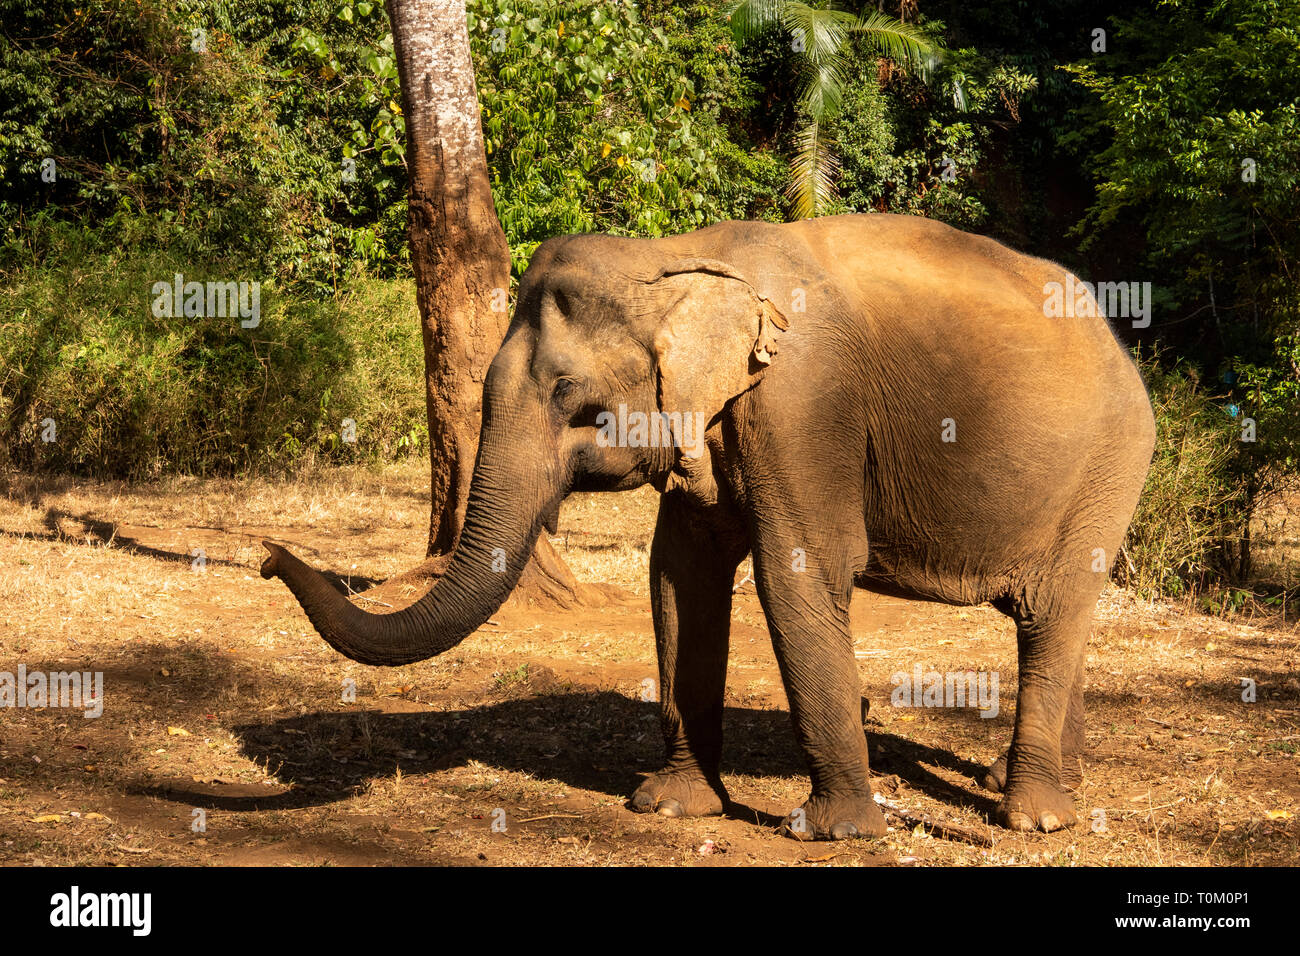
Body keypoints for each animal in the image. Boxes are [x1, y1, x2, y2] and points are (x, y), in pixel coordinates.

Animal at [261, 213, 1156, 840]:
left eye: (571, 400)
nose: (270, 557)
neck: (679, 255)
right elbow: (678, 575)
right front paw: (669, 807)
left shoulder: (803, 403)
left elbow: (803, 570)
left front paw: (836, 832)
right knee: (1059, 622)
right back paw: (1041, 785)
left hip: (1109, 467)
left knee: (1053, 612)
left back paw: (1035, 817)